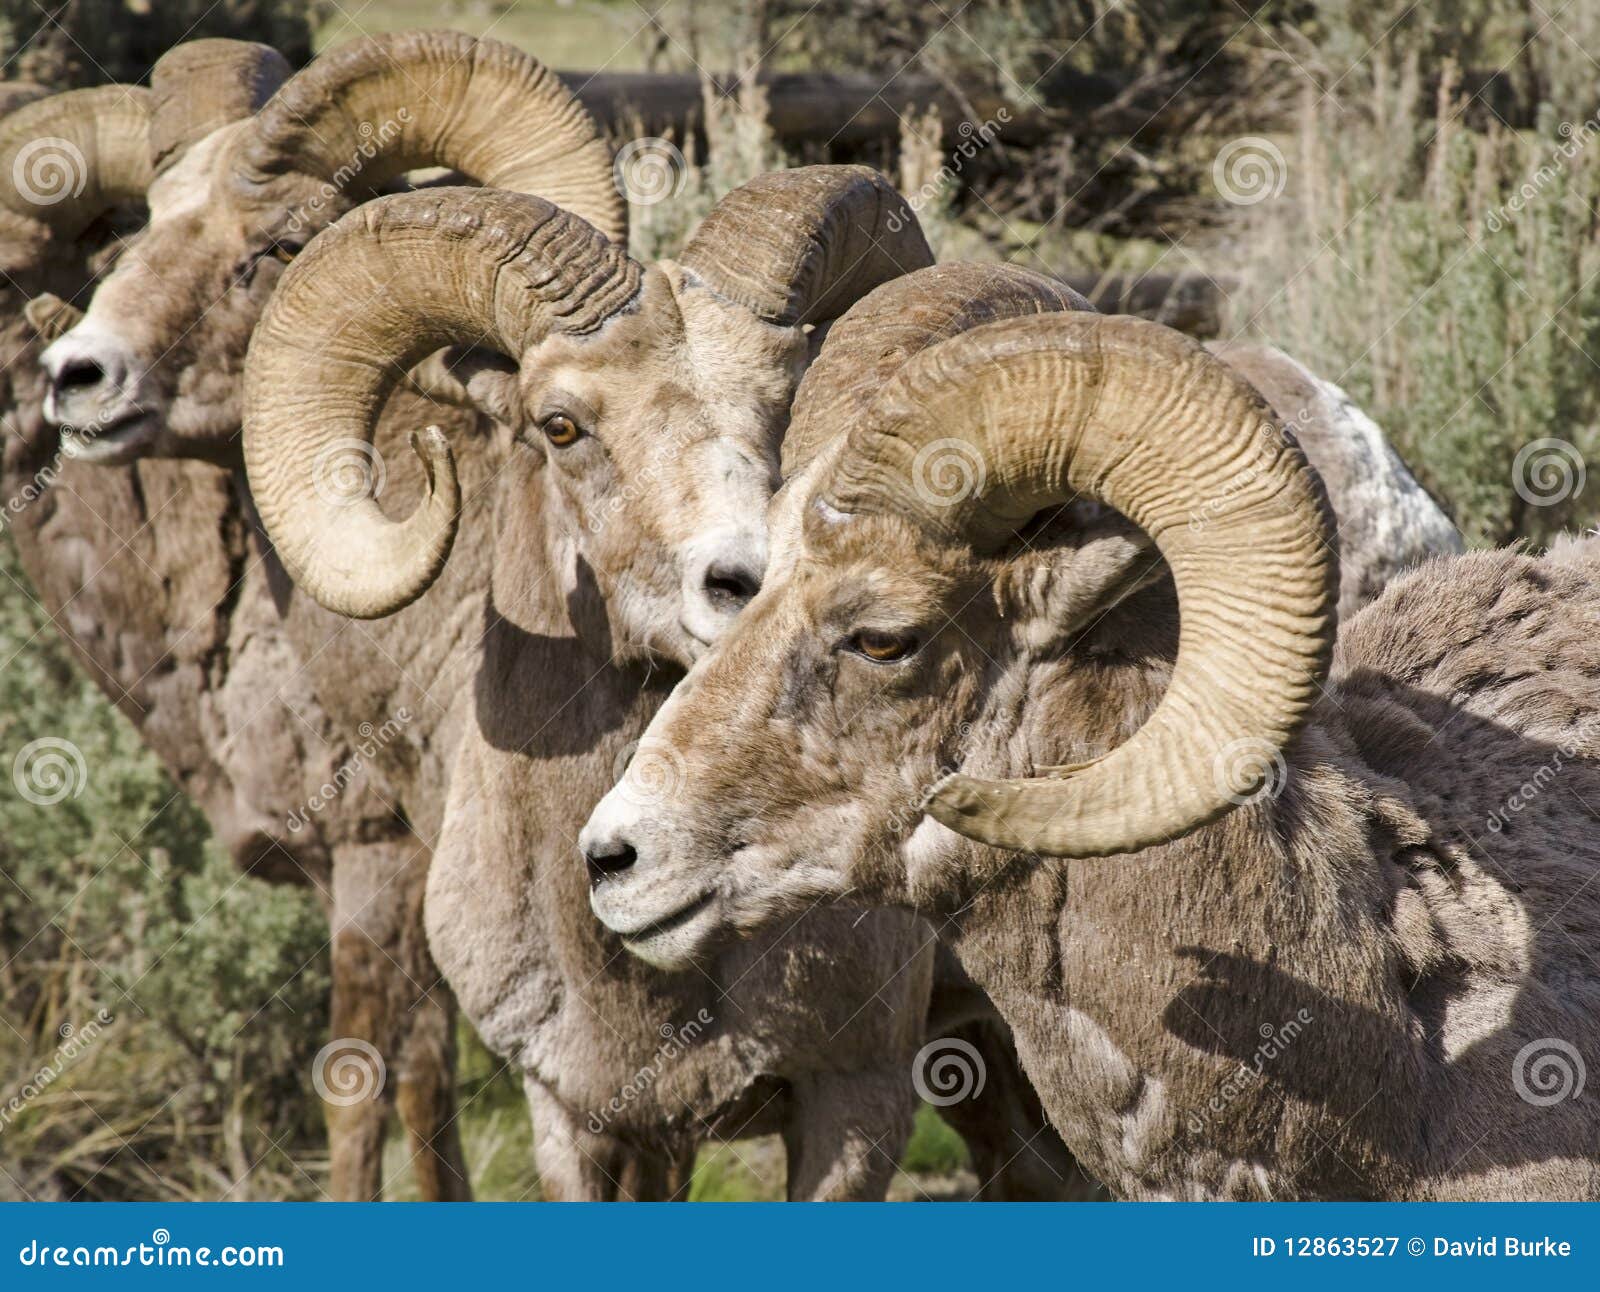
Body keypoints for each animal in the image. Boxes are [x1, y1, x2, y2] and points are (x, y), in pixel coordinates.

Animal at [0, 77, 471, 1202]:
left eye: (276, 247)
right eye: (134, 242)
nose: (79, 377)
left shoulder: (381, 861)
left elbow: (362, 1085)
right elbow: (429, 1081)